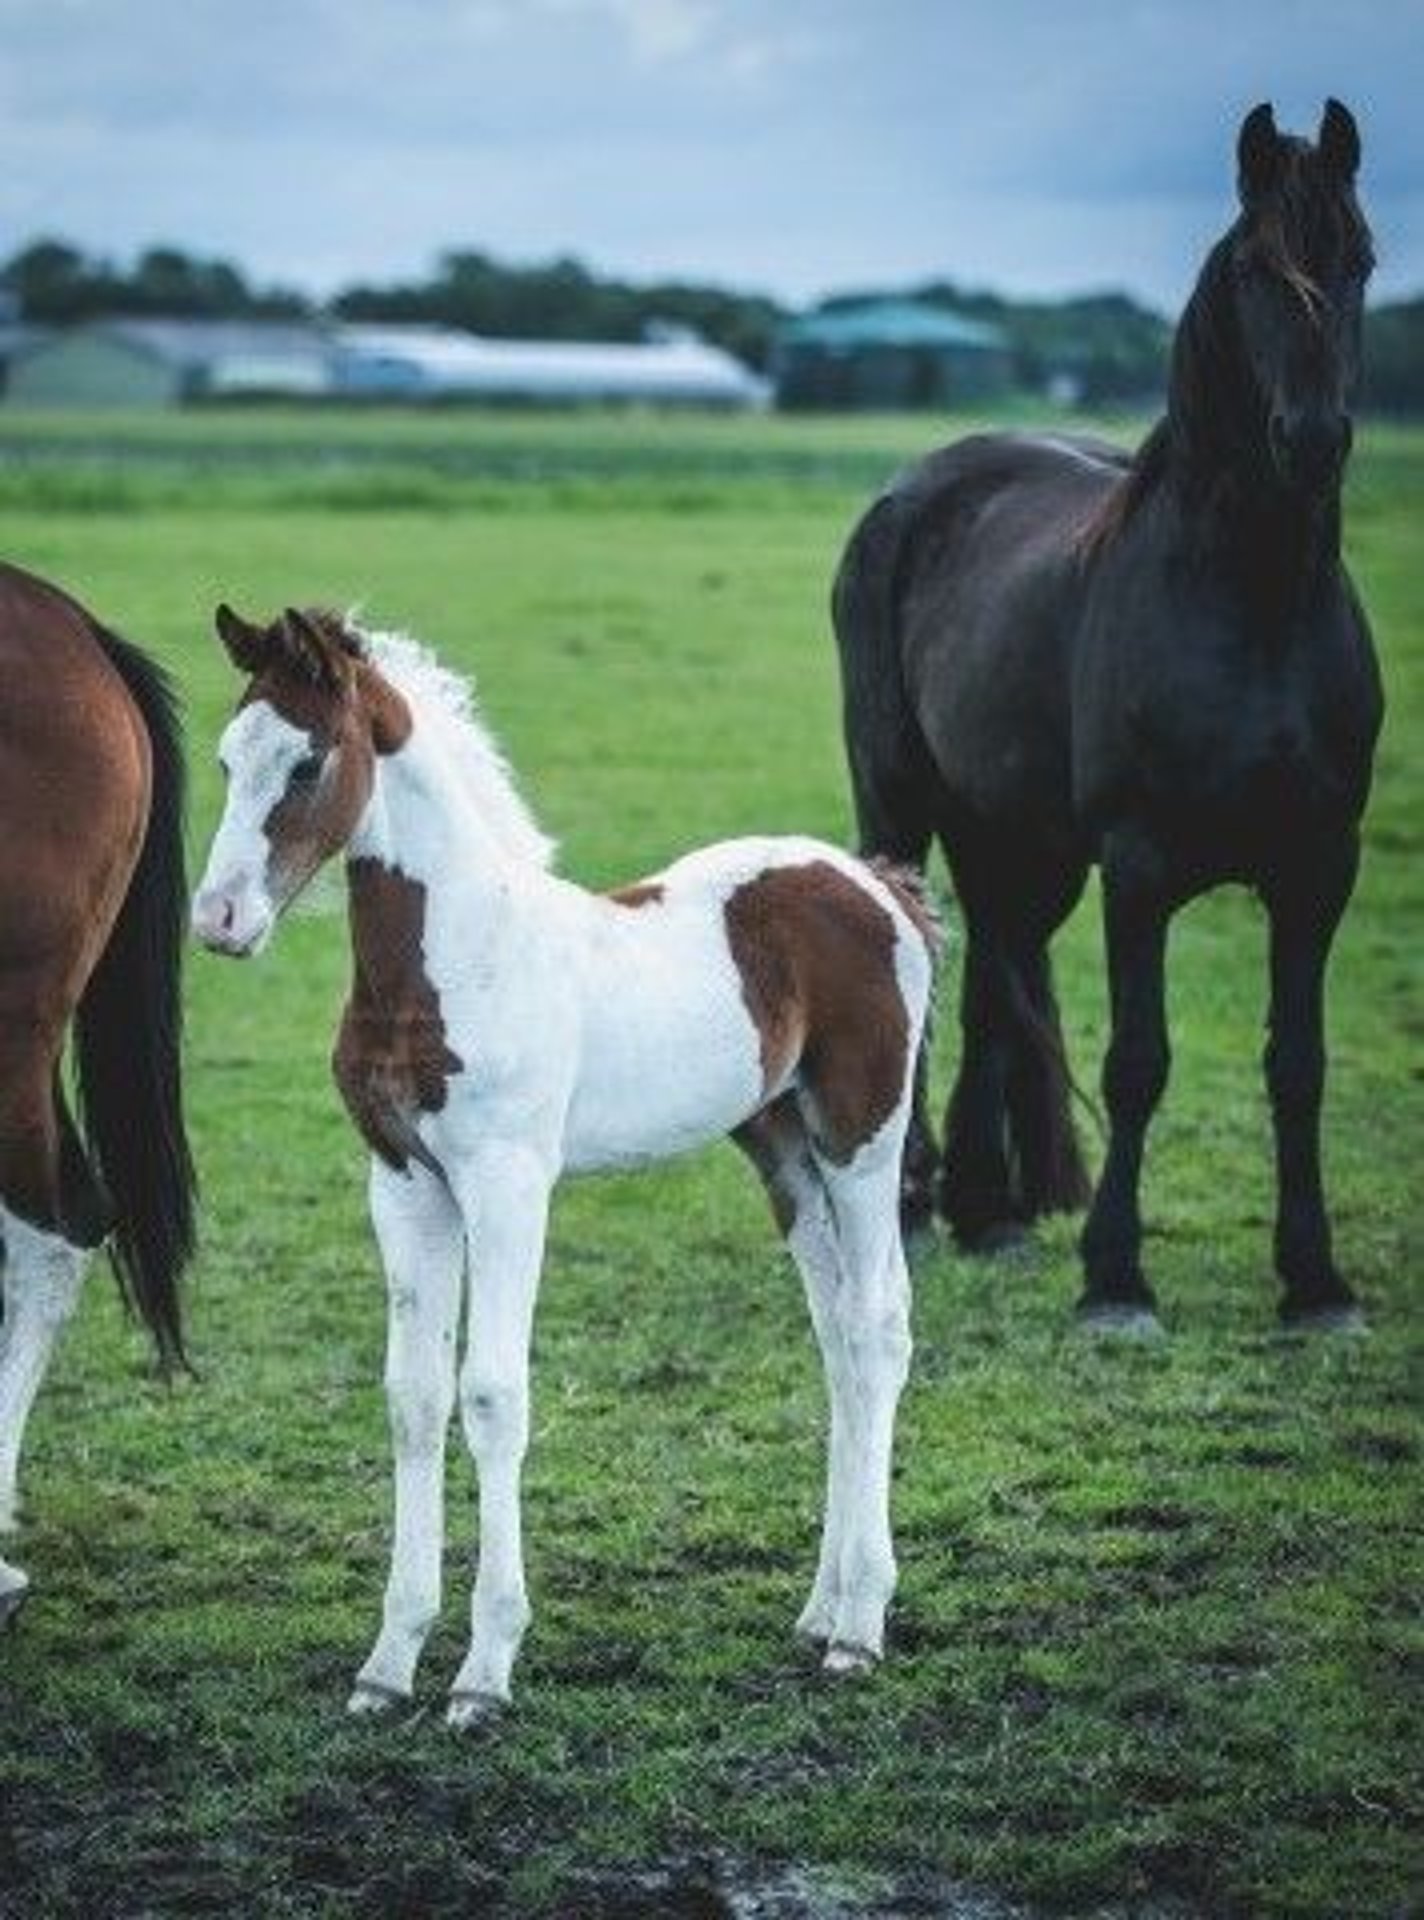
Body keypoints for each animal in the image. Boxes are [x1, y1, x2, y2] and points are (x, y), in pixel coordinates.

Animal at [191, 602, 937, 1726]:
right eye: (229, 757)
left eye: (307, 761)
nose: (219, 919)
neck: (457, 956)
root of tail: (873, 881)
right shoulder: (403, 1187)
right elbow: (414, 1397)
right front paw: (387, 1665)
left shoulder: (508, 1187)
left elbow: (494, 1397)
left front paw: (483, 1674)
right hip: (784, 1155)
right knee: (839, 1342)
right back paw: (820, 1610)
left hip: (861, 1138)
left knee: (881, 1329)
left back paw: (859, 1629)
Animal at [833, 99, 1381, 1331]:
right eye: (1254, 271)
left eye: (1362, 260)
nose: (1312, 438)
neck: (1251, 600)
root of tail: (915, 490)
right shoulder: (1140, 866)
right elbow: (1139, 1061)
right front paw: (1116, 1280)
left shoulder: (1319, 868)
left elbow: (1303, 1064)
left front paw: (1314, 1281)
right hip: (901, 804)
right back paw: (908, 1204)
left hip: (1021, 844)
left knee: (993, 979)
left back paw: (986, 1211)